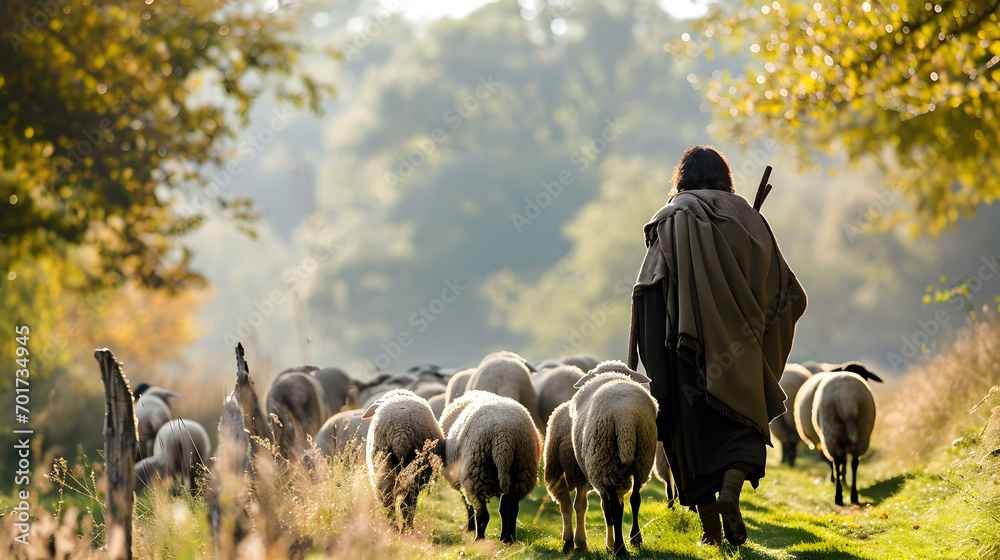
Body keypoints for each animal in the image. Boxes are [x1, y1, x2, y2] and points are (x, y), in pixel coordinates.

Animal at [362, 389, 445, 530]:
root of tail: (400, 432)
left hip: (383, 463)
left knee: (387, 500)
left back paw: (394, 528)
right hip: (415, 468)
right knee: (408, 502)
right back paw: (407, 529)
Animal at [440, 390, 542, 544]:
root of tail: (503, 437)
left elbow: (468, 506)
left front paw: (470, 528)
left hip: (476, 472)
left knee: (483, 514)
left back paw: (479, 539)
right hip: (521, 471)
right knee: (510, 507)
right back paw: (508, 539)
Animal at [570, 360, 658, 557]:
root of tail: (624, 417)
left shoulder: (600, 477)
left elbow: (607, 508)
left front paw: (609, 545)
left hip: (603, 462)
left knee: (614, 509)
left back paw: (619, 548)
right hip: (644, 457)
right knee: (636, 499)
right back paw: (635, 539)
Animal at [812, 372, 877, 506]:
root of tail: (846, 398)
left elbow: (840, 463)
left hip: (831, 432)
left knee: (838, 463)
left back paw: (840, 497)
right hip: (862, 430)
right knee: (854, 463)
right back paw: (852, 495)